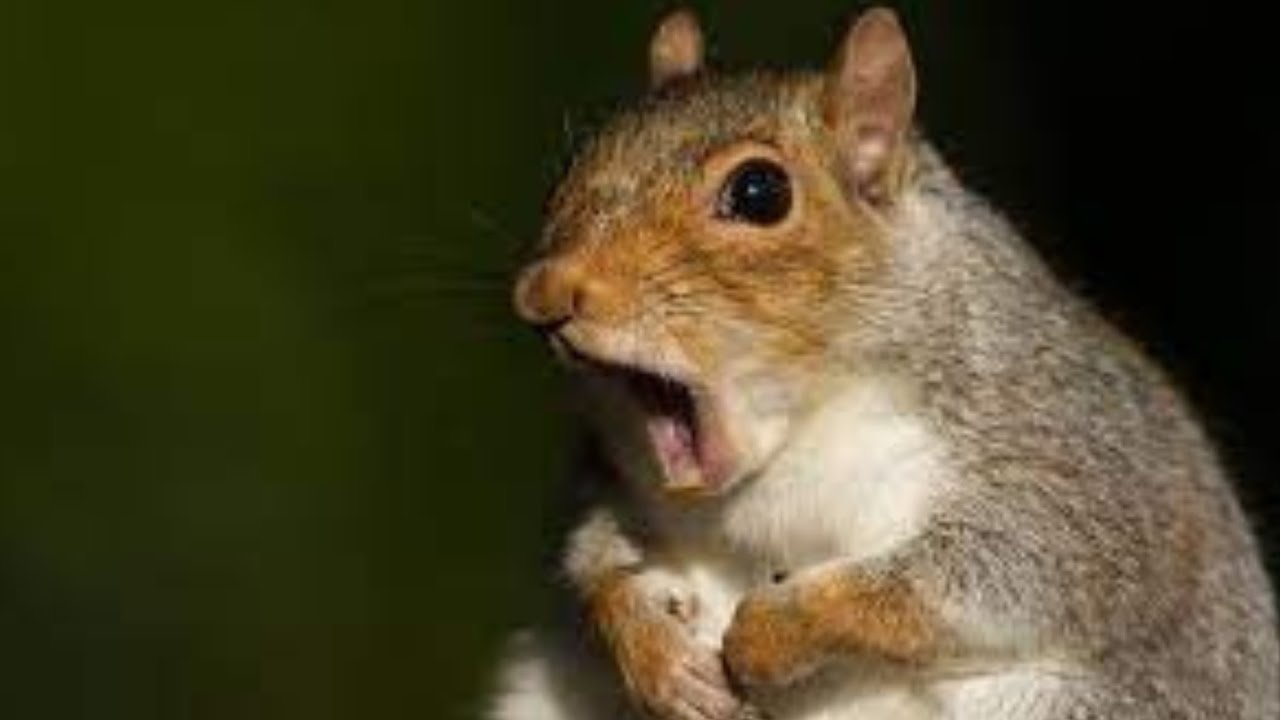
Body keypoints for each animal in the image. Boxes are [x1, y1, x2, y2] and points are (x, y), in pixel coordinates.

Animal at [487, 7, 1279, 720]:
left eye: (759, 192)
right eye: (578, 160)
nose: (544, 292)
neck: (793, 441)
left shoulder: (1062, 464)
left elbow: (985, 576)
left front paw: (775, 631)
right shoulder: (615, 481)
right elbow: (596, 556)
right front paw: (654, 649)